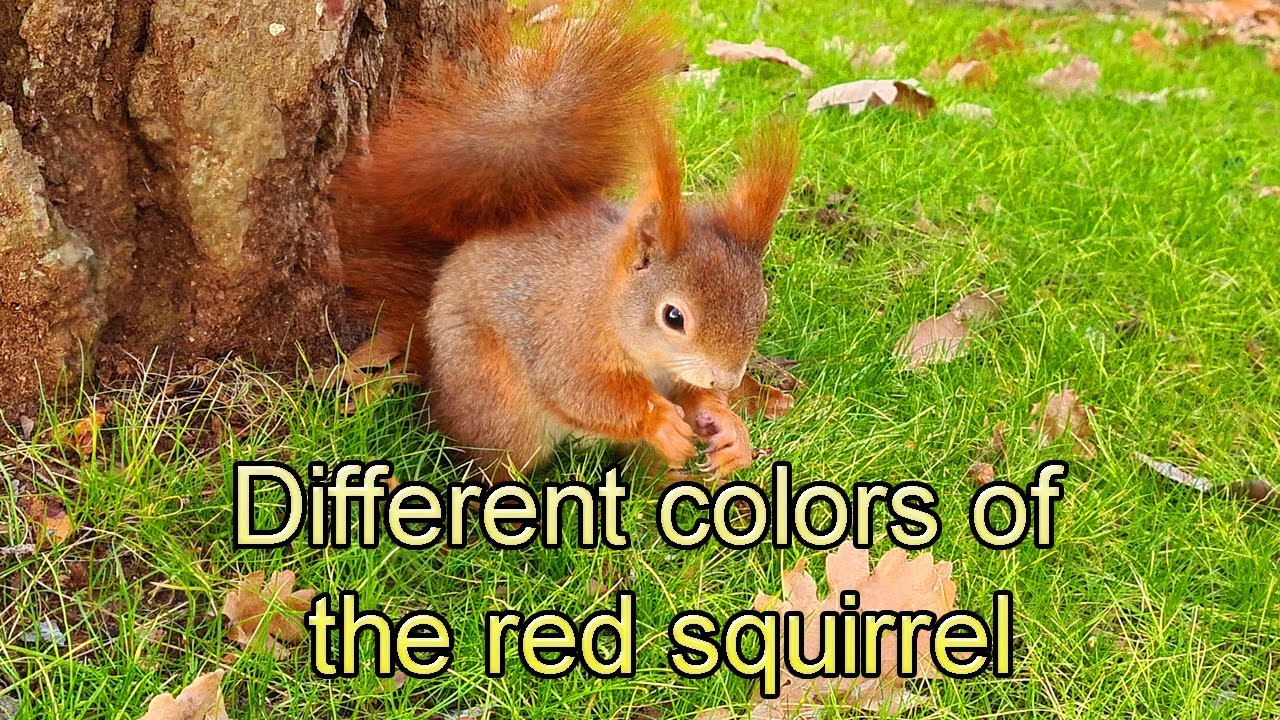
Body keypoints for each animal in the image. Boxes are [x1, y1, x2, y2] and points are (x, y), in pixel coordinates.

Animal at [333, 1, 798, 482]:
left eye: (761, 307)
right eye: (673, 317)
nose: (727, 381)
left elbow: (694, 399)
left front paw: (727, 425)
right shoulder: (565, 336)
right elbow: (580, 391)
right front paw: (660, 421)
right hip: (499, 409)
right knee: (494, 463)